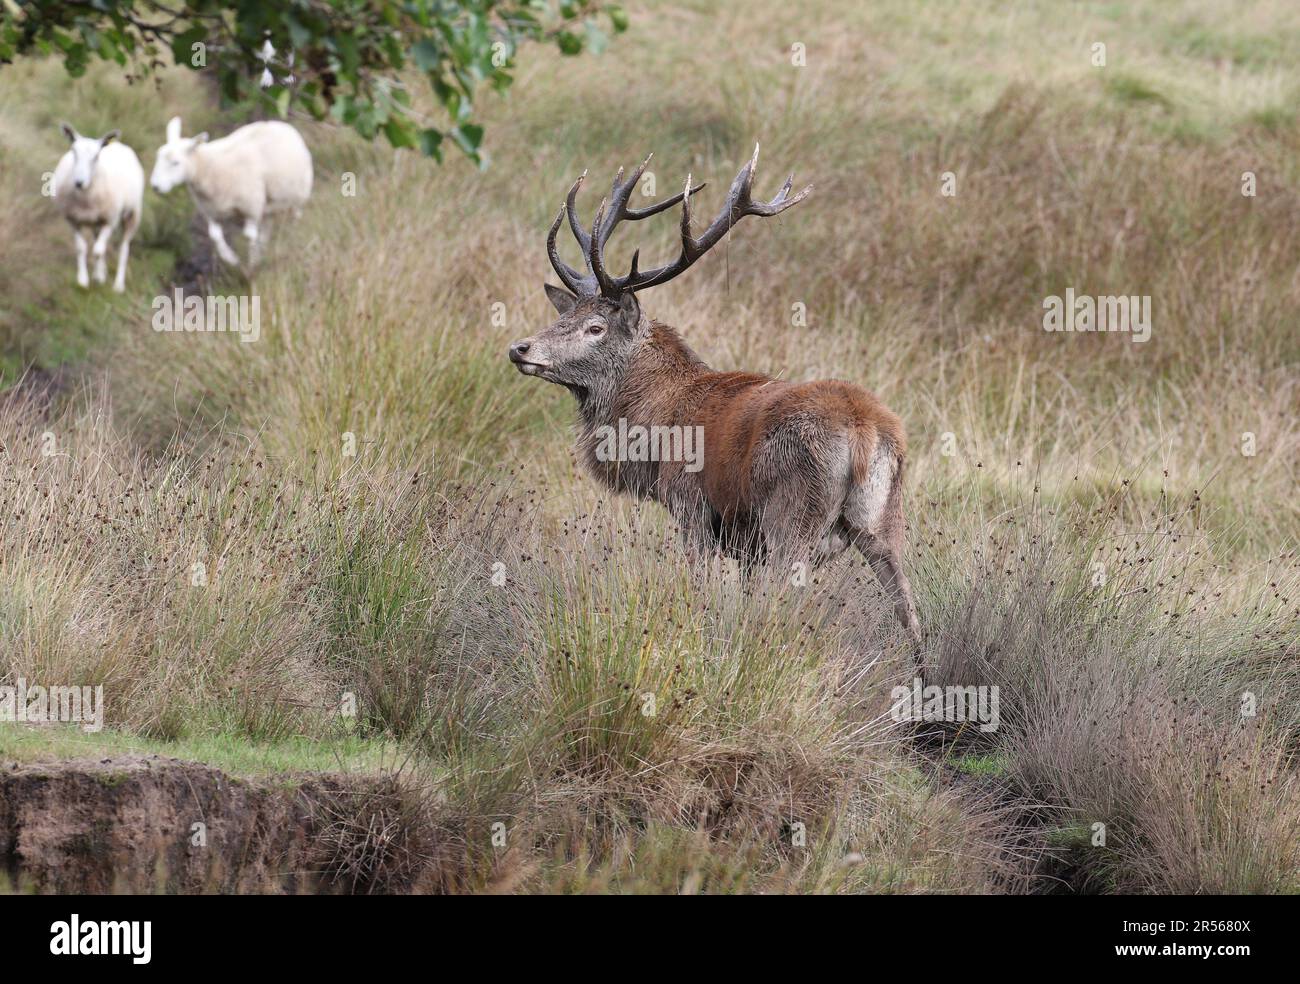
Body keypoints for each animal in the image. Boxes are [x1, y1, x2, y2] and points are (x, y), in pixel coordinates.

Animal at [52, 124, 145, 293]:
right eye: (73, 151)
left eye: (96, 157)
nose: (79, 182)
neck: (85, 198)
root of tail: (117, 144)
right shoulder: (72, 220)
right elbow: (82, 248)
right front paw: (83, 280)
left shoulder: (110, 221)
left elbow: (97, 251)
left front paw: (99, 277)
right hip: (96, 222)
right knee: (98, 241)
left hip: (132, 215)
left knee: (123, 247)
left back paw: (118, 284)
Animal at [149, 117, 312, 271]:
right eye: (157, 157)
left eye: (175, 163)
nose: (155, 186)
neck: (210, 167)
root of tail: (281, 124)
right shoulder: (211, 211)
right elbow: (214, 235)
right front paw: (232, 259)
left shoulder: (251, 208)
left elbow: (249, 236)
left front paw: (251, 265)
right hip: (270, 206)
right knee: (267, 227)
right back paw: (263, 250)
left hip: (299, 197)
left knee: (295, 218)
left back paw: (288, 239)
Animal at [509, 146, 921, 646]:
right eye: (565, 316)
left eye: (595, 327)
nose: (520, 348)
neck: (653, 433)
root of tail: (864, 429)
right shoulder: (746, 547)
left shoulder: (691, 506)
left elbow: (697, 587)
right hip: (886, 519)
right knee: (909, 610)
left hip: (792, 513)